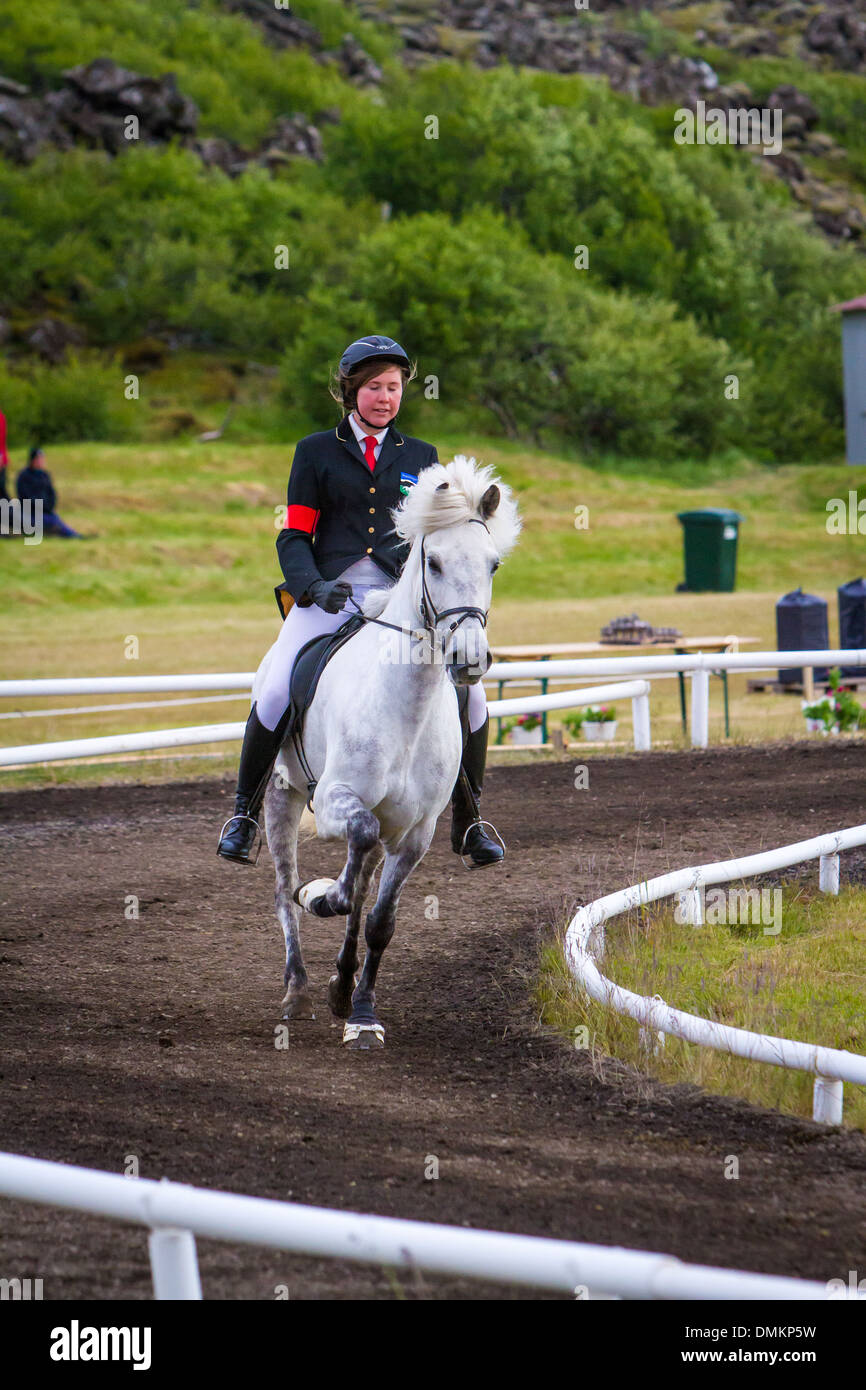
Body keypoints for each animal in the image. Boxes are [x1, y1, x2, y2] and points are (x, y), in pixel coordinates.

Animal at [255, 454, 521, 1048]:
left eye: (493, 565)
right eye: (435, 563)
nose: (470, 659)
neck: (407, 708)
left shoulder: (416, 832)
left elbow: (379, 921)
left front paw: (361, 1013)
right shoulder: (337, 801)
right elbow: (348, 861)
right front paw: (320, 896)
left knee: (362, 879)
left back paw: (339, 983)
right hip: (282, 794)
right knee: (284, 888)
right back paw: (297, 989)